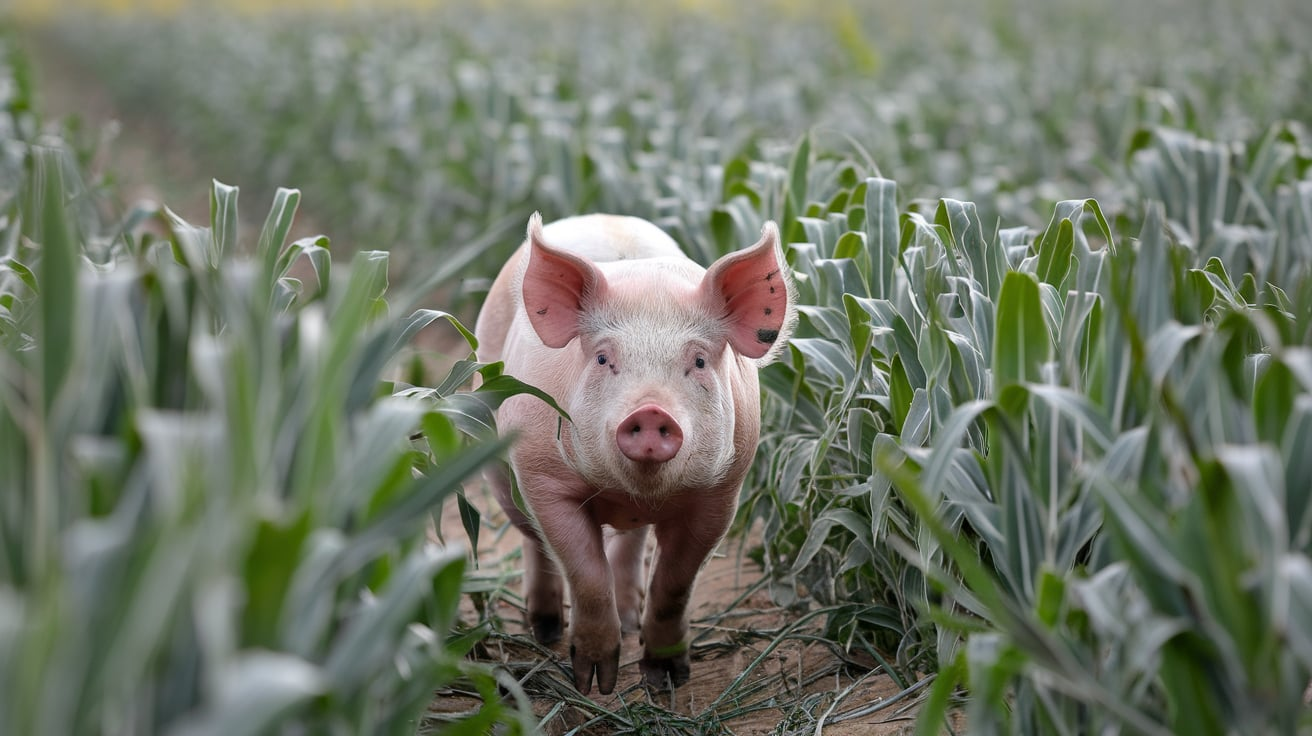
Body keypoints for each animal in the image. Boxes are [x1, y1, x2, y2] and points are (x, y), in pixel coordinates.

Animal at [473, 212, 794, 695]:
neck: (633, 490)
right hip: (495, 458)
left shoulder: (722, 491)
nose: (650, 410)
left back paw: (627, 621)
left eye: (699, 361)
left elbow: (675, 583)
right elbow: (585, 572)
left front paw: (666, 680)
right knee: (532, 539)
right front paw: (593, 685)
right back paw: (545, 630)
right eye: (604, 359)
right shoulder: (543, 477)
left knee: (631, 543)